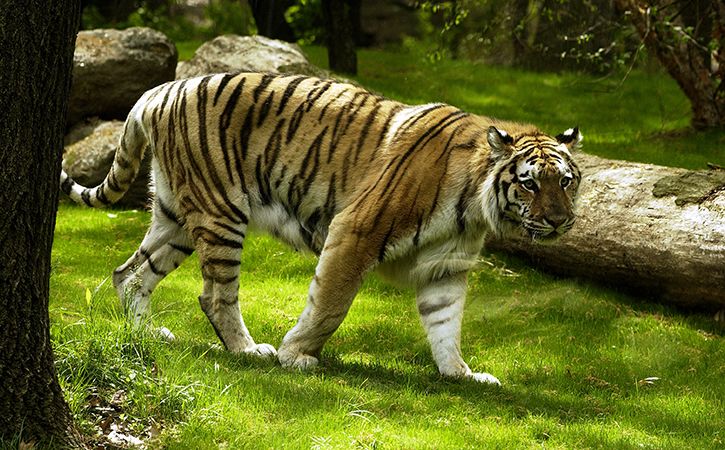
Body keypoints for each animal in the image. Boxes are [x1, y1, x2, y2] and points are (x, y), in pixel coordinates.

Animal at [60, 72, 582, 385]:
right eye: (530, 183)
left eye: (566, 181)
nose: (561, 221)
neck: (473, 206)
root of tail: (158, 91)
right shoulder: (357, 231)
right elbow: (331, 302)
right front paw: (296, 355)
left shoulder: (447, 266)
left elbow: (445, 323)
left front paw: (459, 373)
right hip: (221, 213)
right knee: (213, 295)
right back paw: (249, 350)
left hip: (176, 218)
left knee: (129, 274)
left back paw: (149, 335)